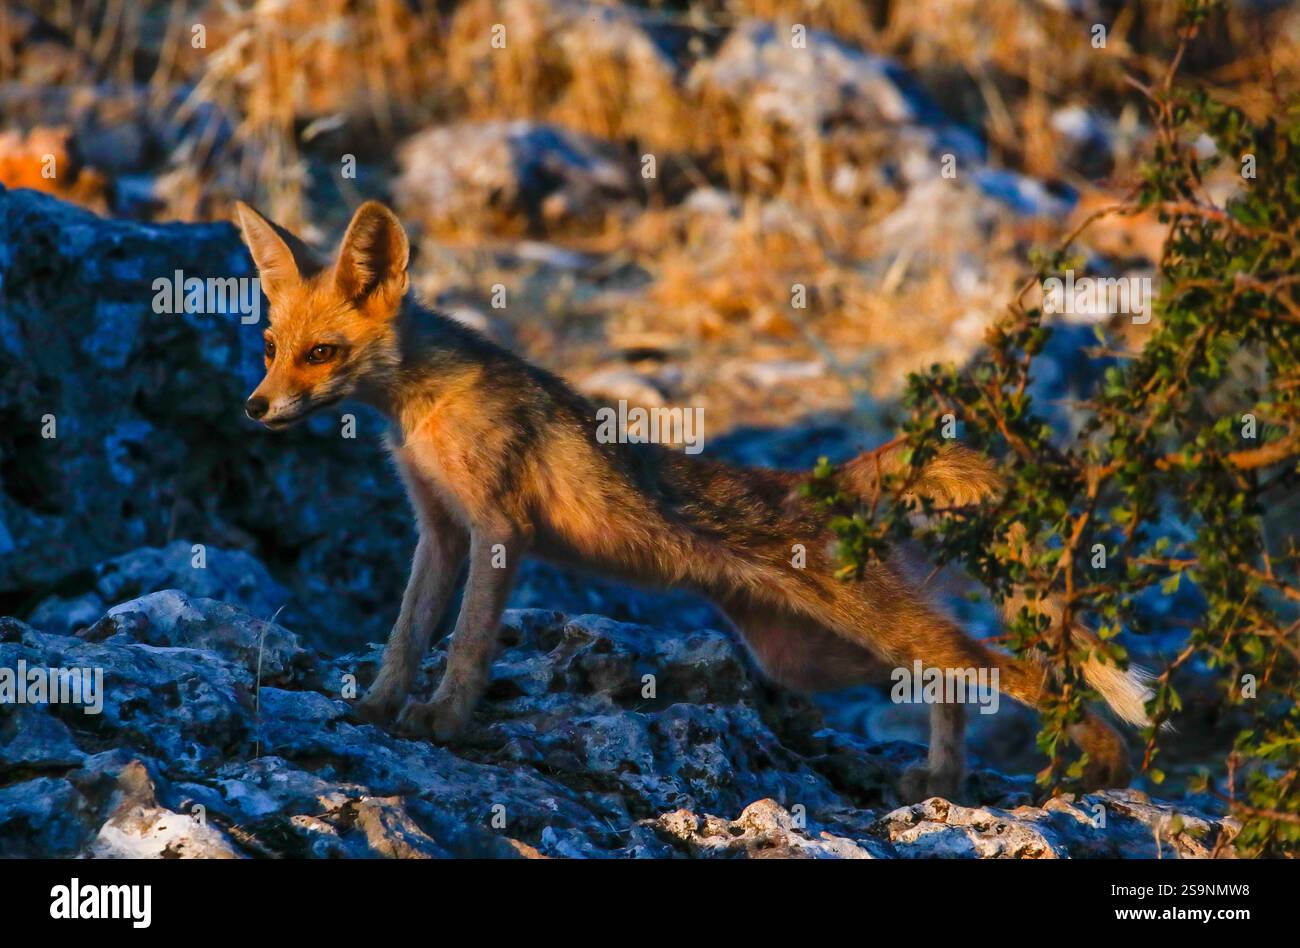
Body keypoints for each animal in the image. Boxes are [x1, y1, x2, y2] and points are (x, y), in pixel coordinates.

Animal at [235, 199, 1152, 799]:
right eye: (273, 345)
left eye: (322, 353)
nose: (255, 409)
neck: (423, 406)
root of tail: (827, 479)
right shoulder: (439, 532)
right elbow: (404, 635)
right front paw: (378, 709)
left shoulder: (499, 531)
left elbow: (465, 647)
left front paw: (445, 723)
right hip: (812, 656)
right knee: (957, 678)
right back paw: (941, 780)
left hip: (870, 633)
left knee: (1023, 669)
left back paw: (1095, 766)